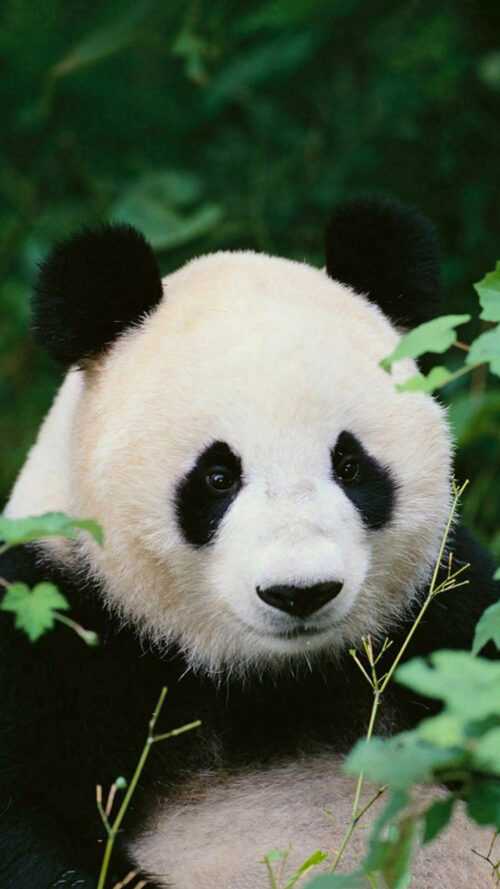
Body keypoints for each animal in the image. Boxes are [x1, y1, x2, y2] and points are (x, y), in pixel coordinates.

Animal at [1, 197, 497, 889]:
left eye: (350, 465)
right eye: (218, 477)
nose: (300, 593)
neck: (271, 681)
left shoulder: (445, 608)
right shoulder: (54, 625)